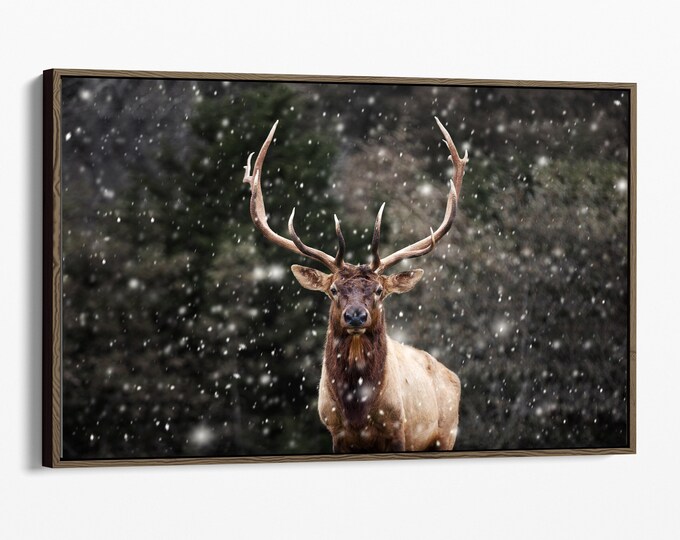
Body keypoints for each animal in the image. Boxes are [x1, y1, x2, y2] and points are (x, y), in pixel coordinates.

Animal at [242, 118, 468, 453]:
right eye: (334, 290)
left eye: (379, 291)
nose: (356, 316)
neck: (359, 414)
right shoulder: (336, 434)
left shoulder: (399, 431)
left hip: (445, 436)